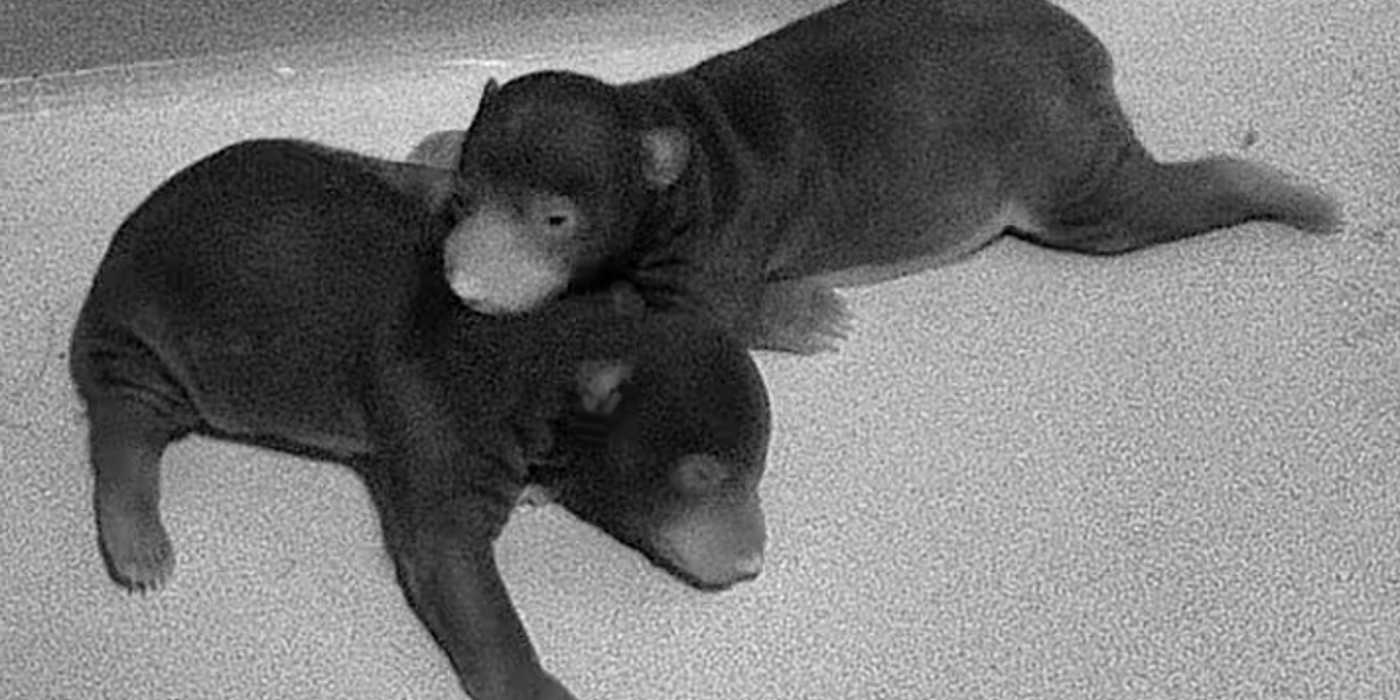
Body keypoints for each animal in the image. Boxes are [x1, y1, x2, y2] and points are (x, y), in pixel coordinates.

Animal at [68, 138, 771, 700]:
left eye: (756, 469)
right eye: (700, 475)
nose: (753, 564)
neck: (548, 343)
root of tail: (117, 250)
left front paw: (541, 485)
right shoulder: (437, 416)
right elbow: (450, 566)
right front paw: (531, 685)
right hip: (157, 347)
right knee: (124, 422)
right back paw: (136, 540)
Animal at [409, 0, 1339, 355]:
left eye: (555, 220)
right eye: (464, 201)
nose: (464, 283)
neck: (664, 117)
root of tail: (1080, 48)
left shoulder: (715, 238)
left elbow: (707, 316)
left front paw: (805, 314)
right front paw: (434, 142)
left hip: (1066, 170)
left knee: (1144, 204)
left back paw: (1288, 193)